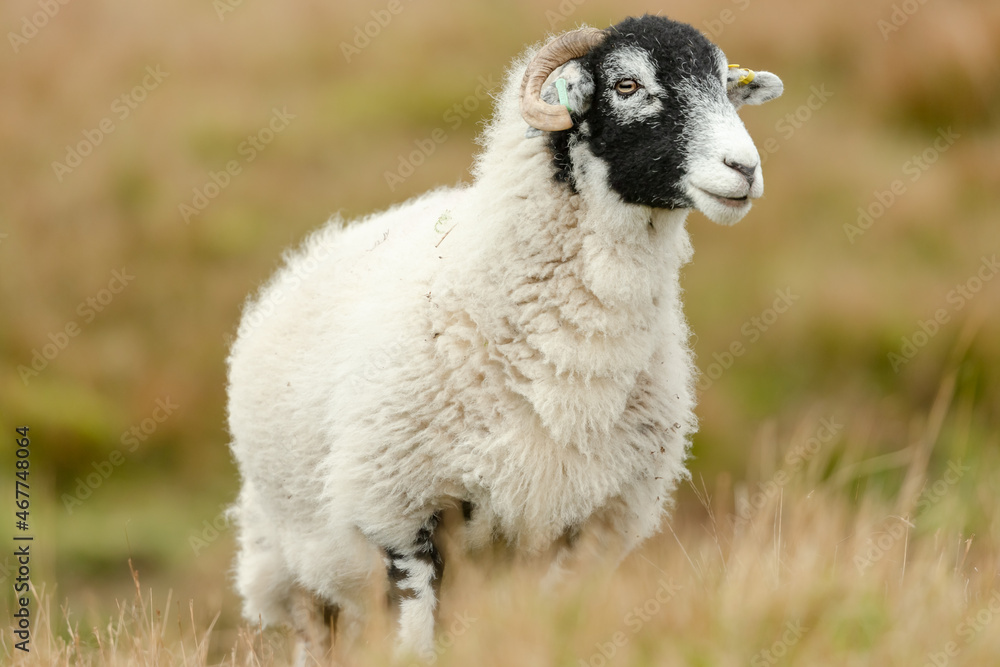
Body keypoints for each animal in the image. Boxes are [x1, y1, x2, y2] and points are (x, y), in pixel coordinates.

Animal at [226, 14, 783, 664]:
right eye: (626, 84)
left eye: (723, 82)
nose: (744, 168)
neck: (570, 362)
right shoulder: (400, 513)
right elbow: (416, 643)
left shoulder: (588, 526)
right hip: (290, 565)